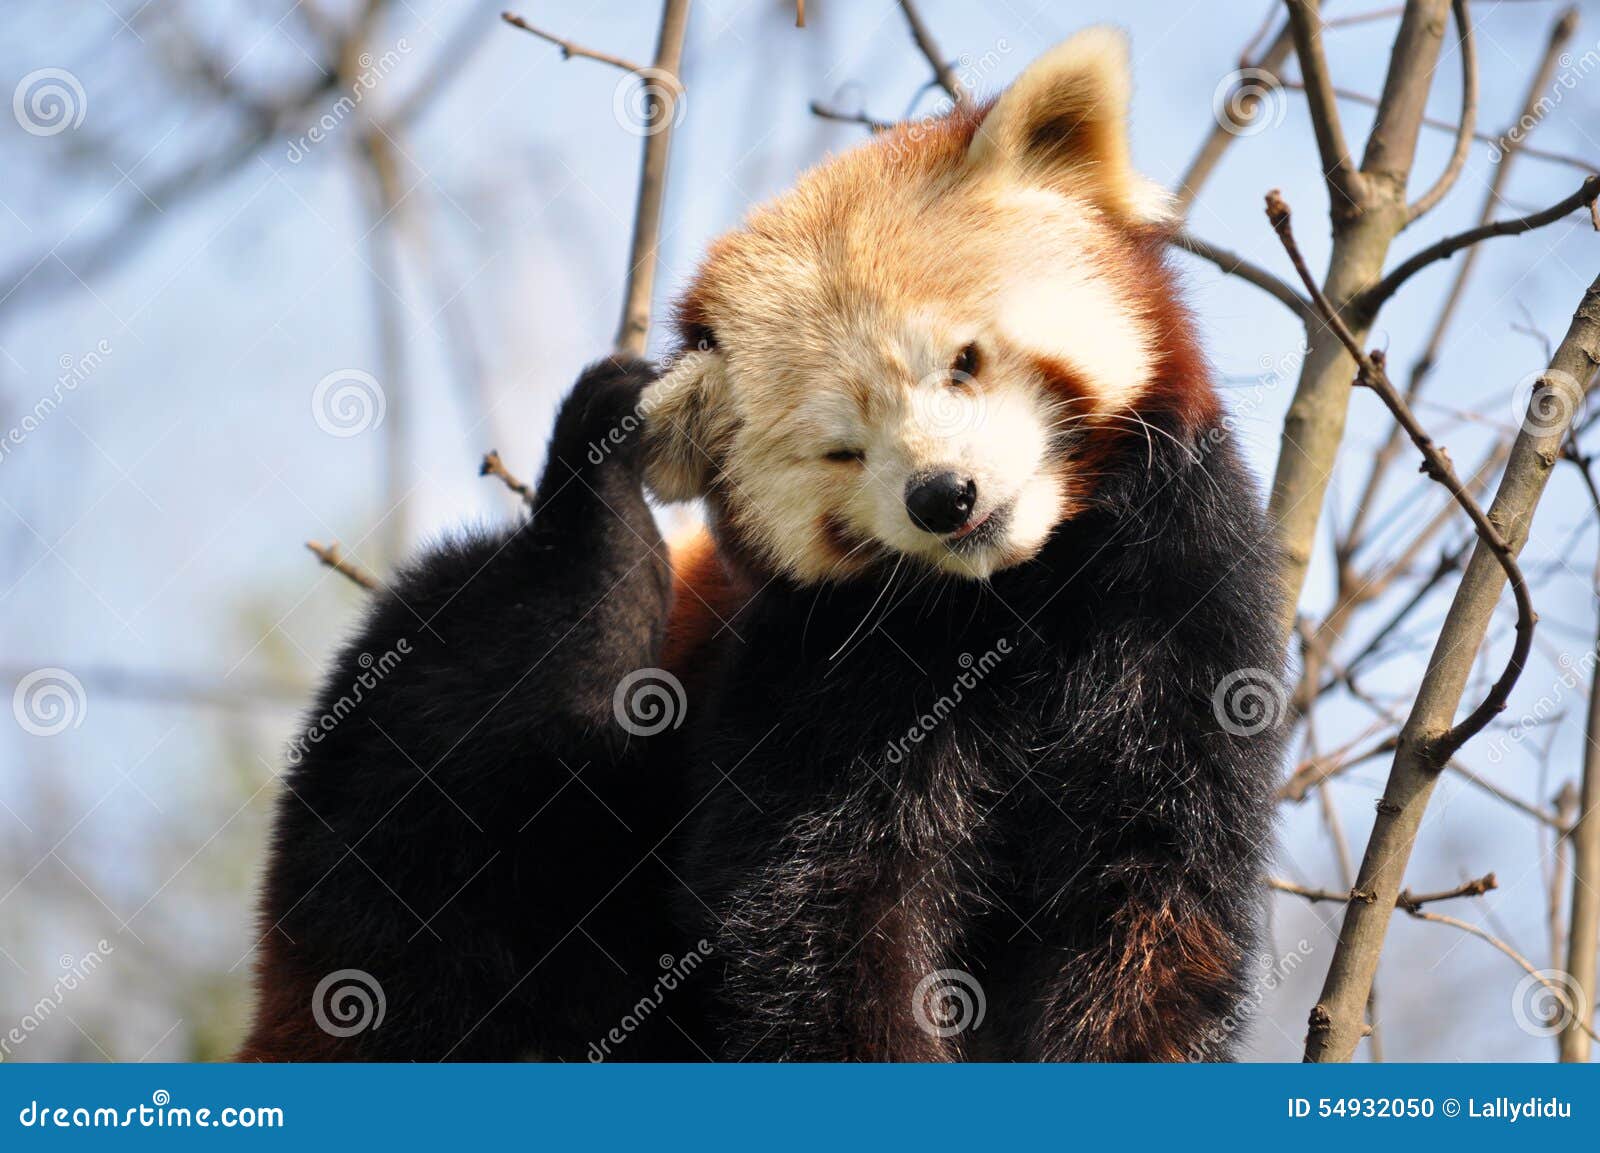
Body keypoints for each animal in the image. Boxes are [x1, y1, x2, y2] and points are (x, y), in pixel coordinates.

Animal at [239, 28, 1284, 1063]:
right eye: (843, 448)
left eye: (963, 362)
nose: (943, 496)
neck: (1016, 600)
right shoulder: (817, 681)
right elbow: (814, 919)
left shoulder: (1179, 625)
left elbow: (1151, 902)